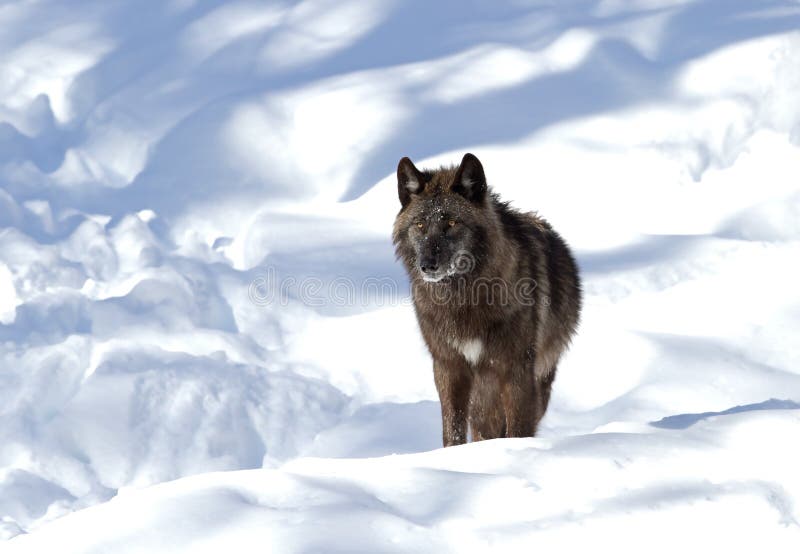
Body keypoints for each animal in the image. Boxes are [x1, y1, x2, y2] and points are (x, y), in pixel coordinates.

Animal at [393, 153, 581, 447]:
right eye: (420, 225)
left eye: (451, 224)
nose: (427, 265)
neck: (464, 297)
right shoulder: (448, 366)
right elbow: (453, 428)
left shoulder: (516, 368)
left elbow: (518, 427)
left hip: (536, 382)